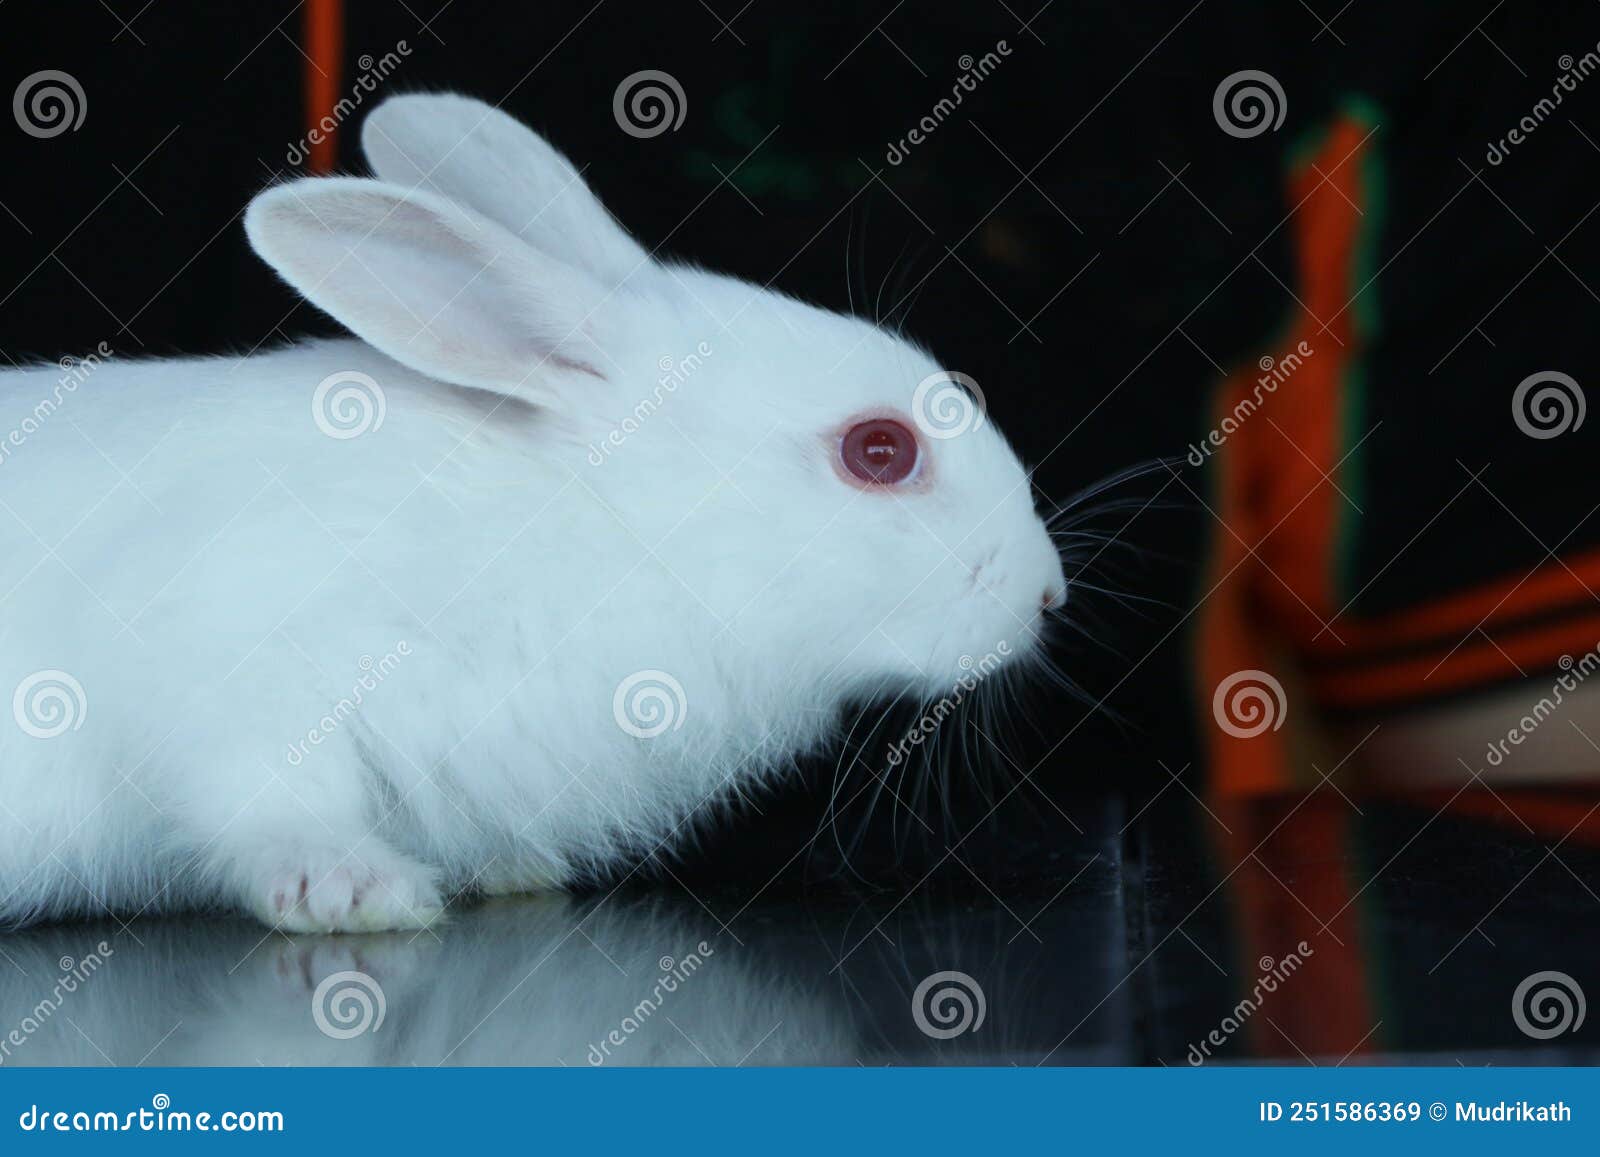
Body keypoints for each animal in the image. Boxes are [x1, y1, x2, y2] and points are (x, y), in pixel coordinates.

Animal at [0, 93, 1067, 934]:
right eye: (879, 451)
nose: (1048, 595)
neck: (607, 528)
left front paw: (515, 874)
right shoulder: (235, 655)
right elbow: (268, 795)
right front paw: (355, 889)